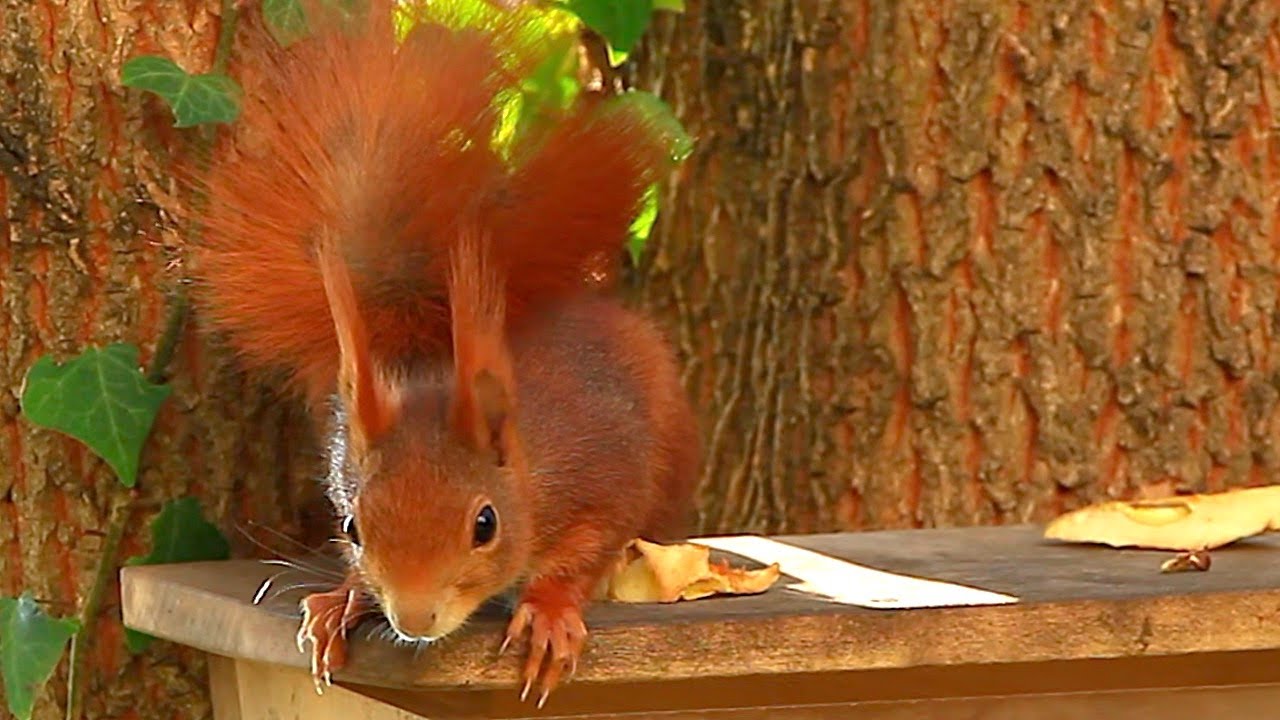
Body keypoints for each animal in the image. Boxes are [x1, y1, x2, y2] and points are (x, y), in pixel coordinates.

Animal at [187, 0, 700, 706]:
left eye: (485, 525)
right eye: (352, 528)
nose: (414, 617)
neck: (526, 462)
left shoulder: (605, 467)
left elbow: (591, 545)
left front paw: (550, 612)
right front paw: (342, 602)